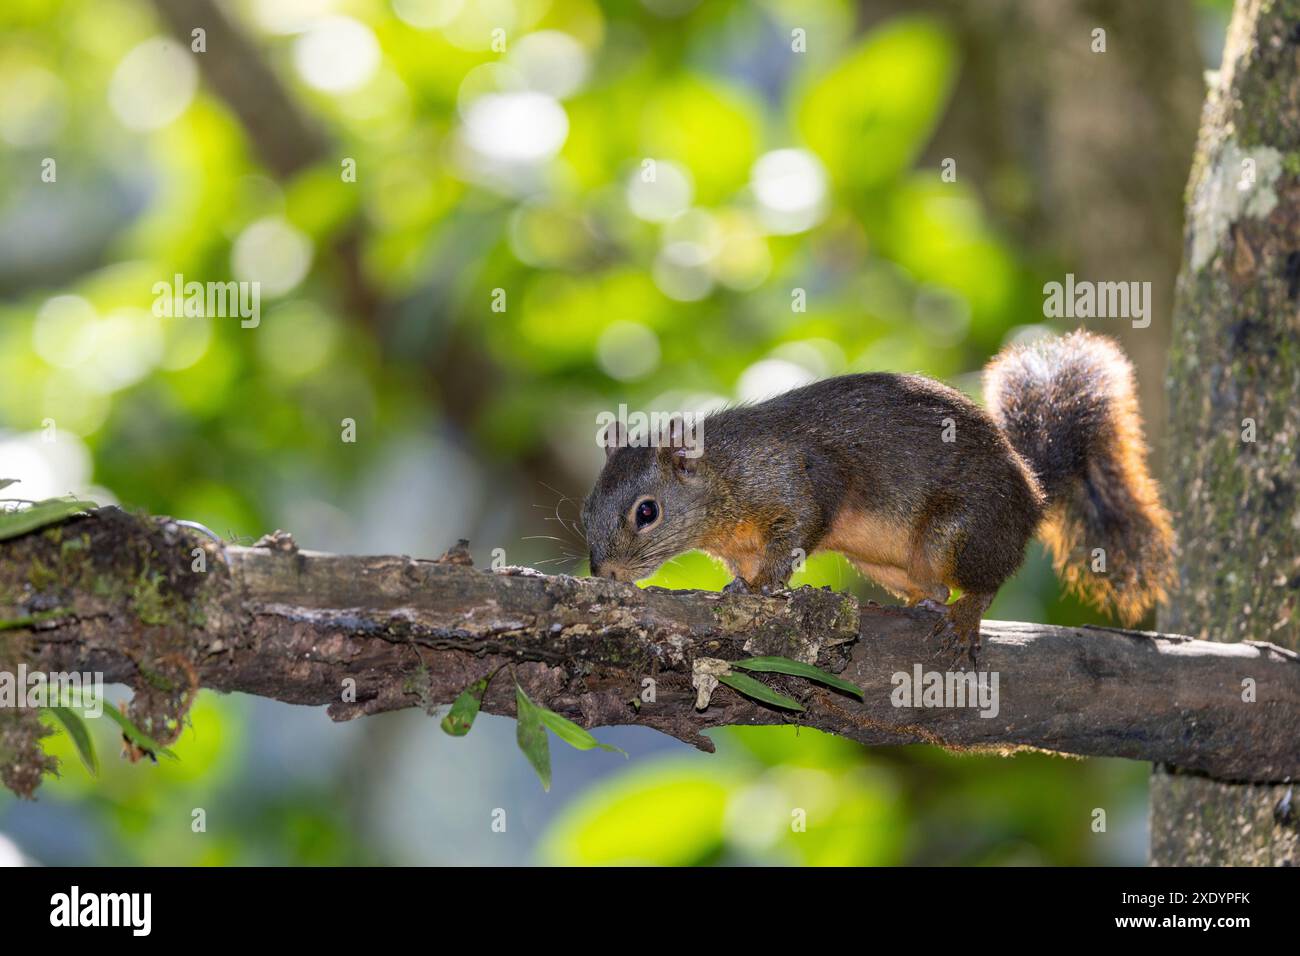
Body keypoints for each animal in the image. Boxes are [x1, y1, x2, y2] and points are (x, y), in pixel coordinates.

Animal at [581, 330, 1176, 665]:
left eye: (647, 511)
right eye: (587, 509)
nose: (604, 574)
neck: (721, 482)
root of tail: (1033, 493)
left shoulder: (800, 477)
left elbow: (800, 527)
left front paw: (763, 587)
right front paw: (741, 584)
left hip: (958, 530)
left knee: (983, 580)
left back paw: (965, 615)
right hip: (885, 563)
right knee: (932, 588)